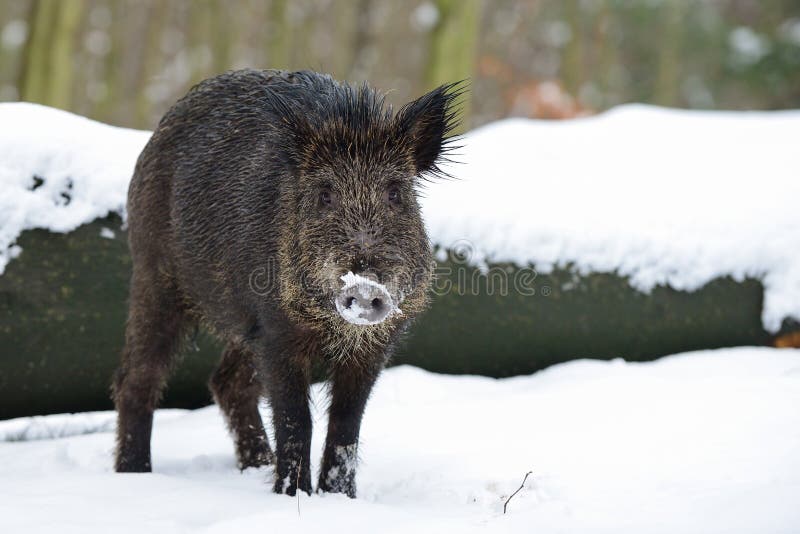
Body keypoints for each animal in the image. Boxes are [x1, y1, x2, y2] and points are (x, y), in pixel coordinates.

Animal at [112, 69, 461, 497]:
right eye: (325, 194)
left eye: (396, 192)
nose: (364, 287)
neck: (333, 327)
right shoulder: (277, 332)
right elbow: (297, 419)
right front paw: (293, 497)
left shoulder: (374, 346)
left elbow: (346, 425)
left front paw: (341, 498)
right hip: (155, 279)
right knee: (137, 378)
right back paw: (135, 476)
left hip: (240, 325)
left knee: (226, 382)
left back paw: (255, 468)